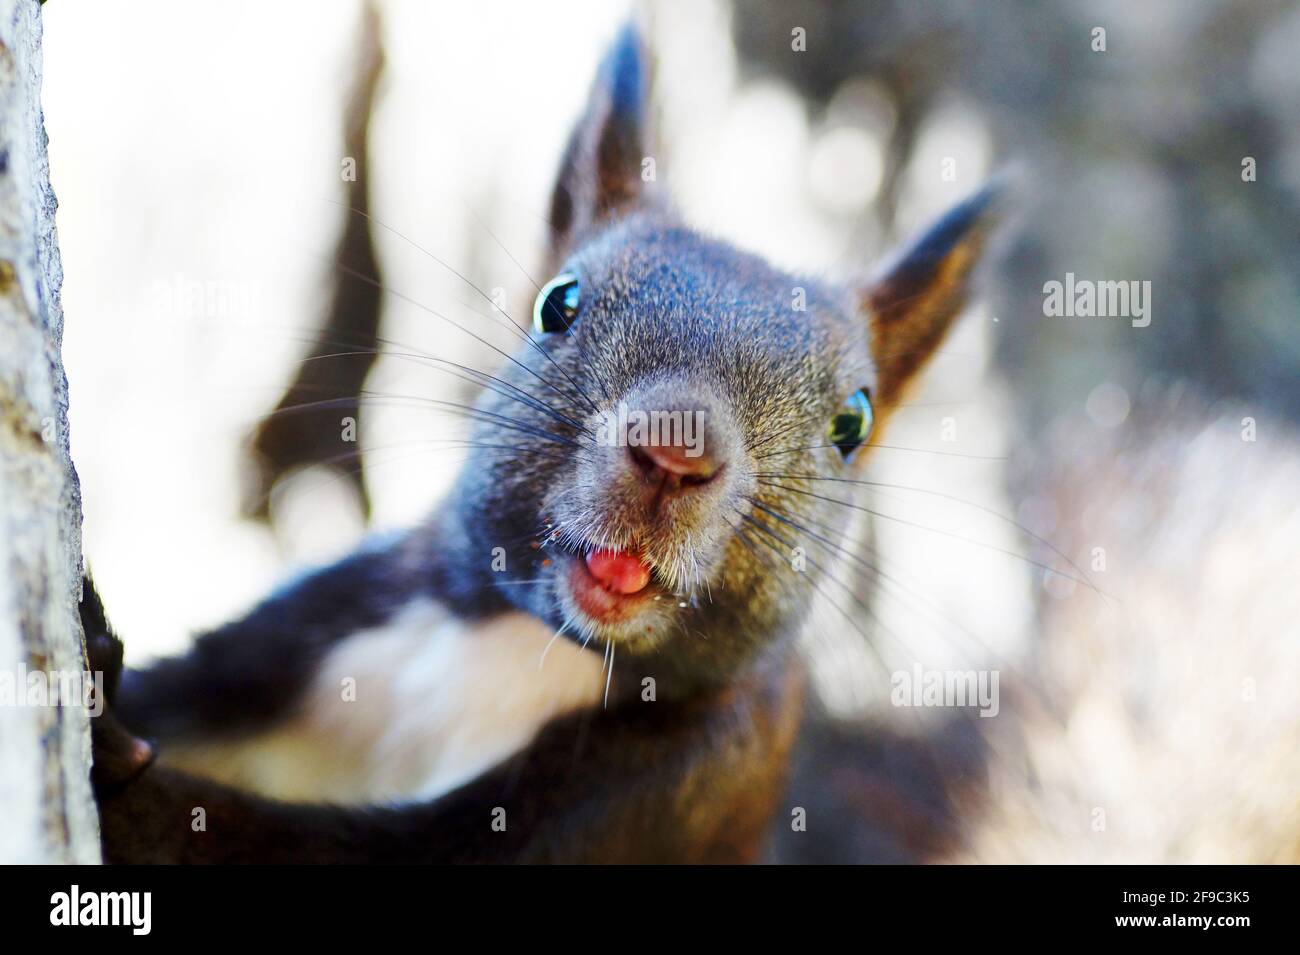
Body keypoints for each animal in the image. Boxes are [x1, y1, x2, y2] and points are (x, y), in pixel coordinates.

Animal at [85, 24, 1003, 864]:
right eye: (557, 304)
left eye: (853, 424)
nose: (675, 454)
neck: (520, 647)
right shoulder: (319, 625)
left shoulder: (661, 792)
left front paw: (107, 743)